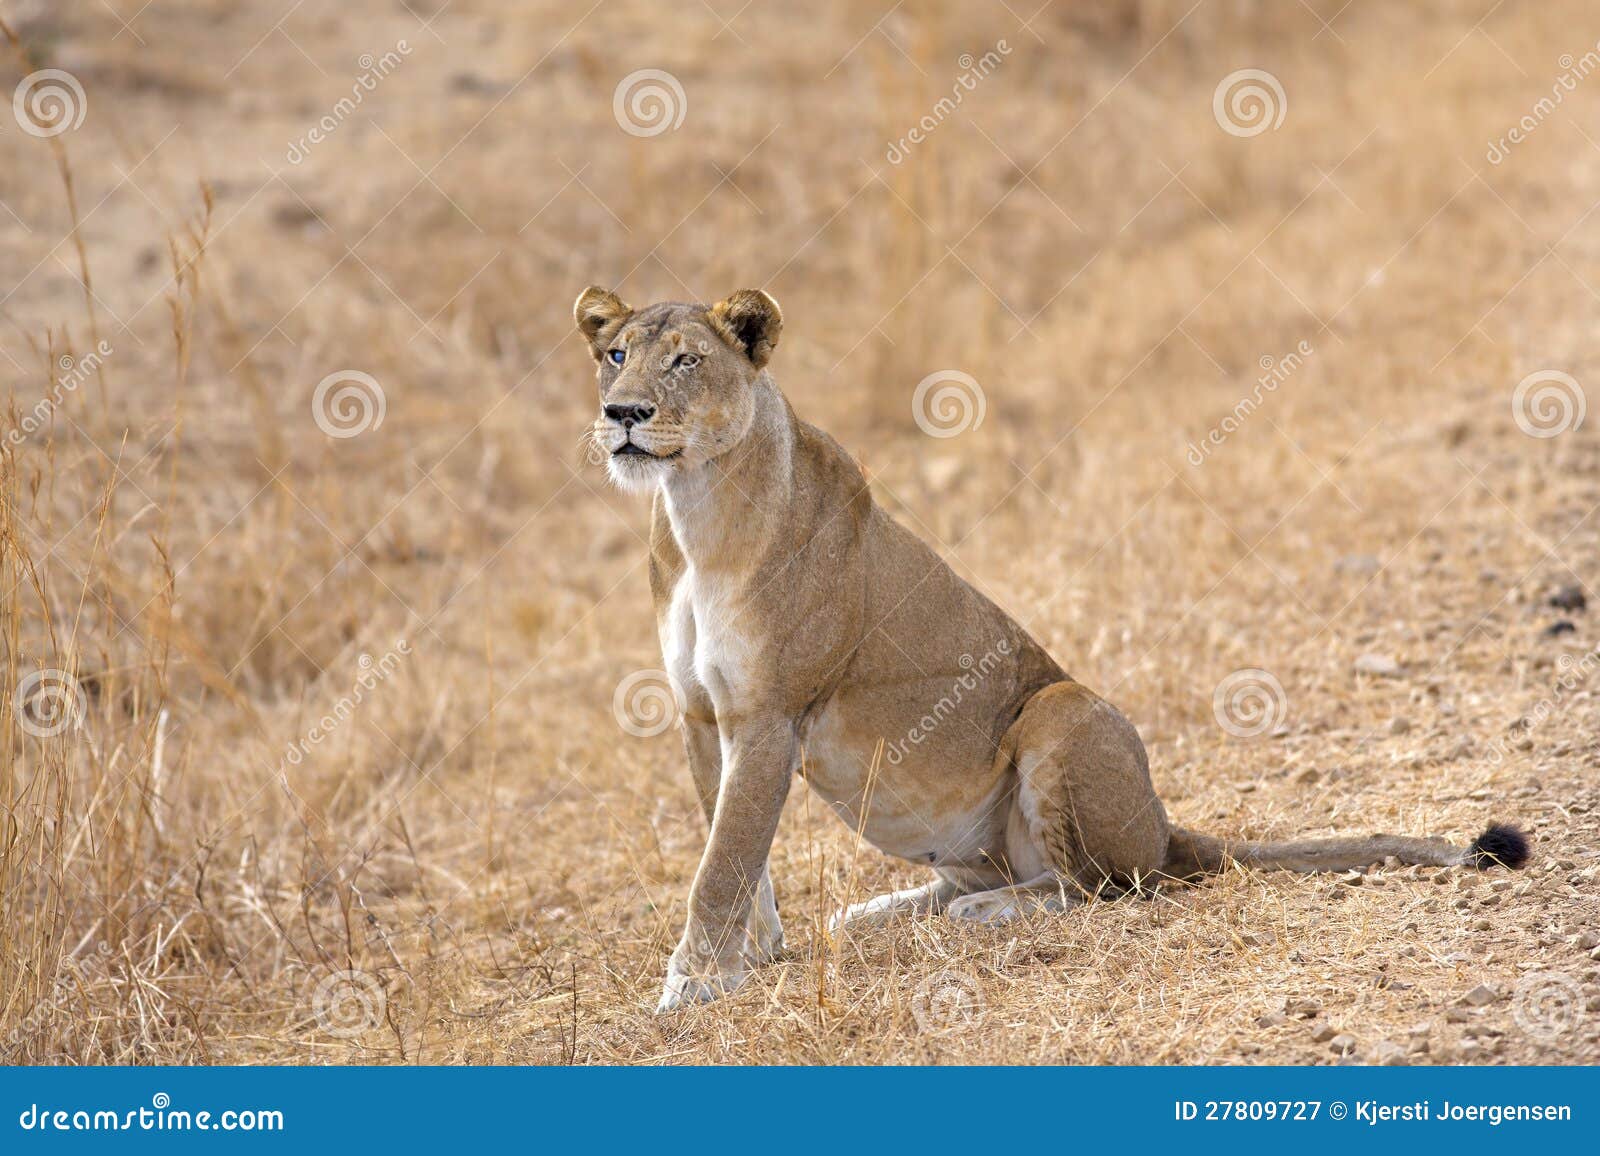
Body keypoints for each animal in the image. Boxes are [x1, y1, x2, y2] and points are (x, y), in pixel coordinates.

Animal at [574, 285, 1530, 1013]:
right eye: (615, 354)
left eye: (686, 361)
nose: (622, 415)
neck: (694, 509)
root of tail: (1164, 824)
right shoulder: (704, 716)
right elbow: (739, 853)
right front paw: (756, 956)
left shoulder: (770, 714)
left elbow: (723, 862)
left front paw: (693, 986)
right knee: (982, 875)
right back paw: (880, 911)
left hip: (1062, 711)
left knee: (1104, 887)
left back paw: (989, 913)